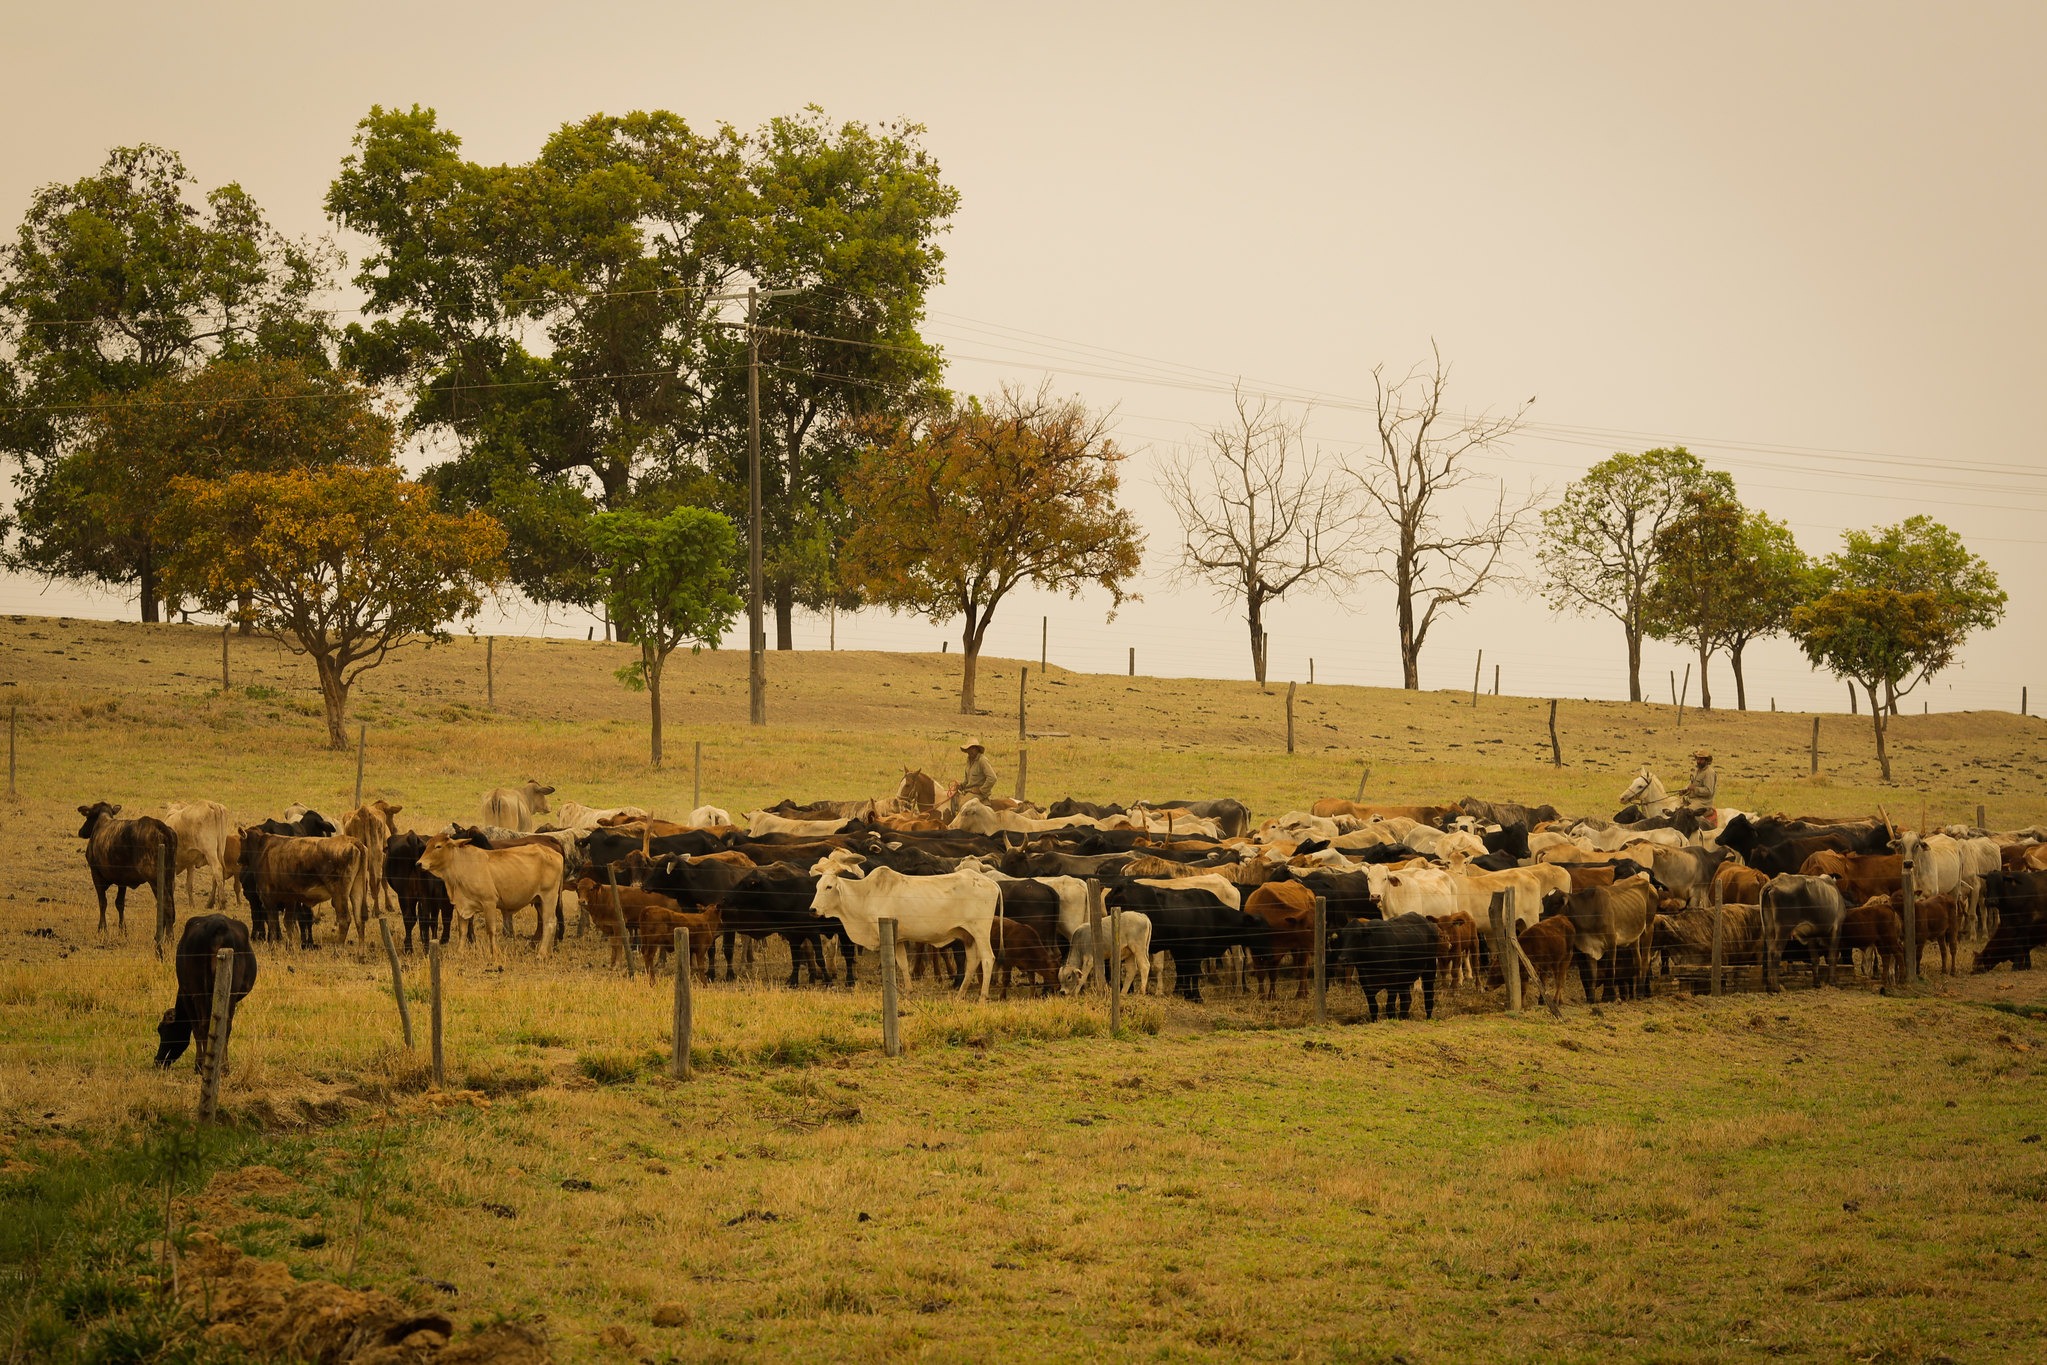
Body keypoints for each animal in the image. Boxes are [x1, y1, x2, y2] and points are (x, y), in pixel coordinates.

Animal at [78, 802, 177, 940]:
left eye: (88, 816)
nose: (81, 831)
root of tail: (161, 826)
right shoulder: (122, 880)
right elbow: (119, 903)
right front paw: (122, 931)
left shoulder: (96, 874)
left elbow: (103, 902)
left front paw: (102, 929)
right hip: (169, 877)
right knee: (168, 904)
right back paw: (159, 936)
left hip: (155, 878)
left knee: (166, 903)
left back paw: (168, 937)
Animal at [155, 914, 257, 1072]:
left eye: (161, 1029)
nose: (157, 1061)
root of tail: (218, 924)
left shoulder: (187, 994)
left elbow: (196, 1028)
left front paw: (199, 1064)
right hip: (230, 992)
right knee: (226, 1026)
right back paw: (224, 1067)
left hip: (199, 991)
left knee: (202, 1026)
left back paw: (204, 1065)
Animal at [416, 834, 566, 959]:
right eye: (427, 845)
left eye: (438, 846)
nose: (419, 864)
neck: (461, 865)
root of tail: (555, 854)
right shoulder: (462, 906)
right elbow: (462, 932)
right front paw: (459, 953)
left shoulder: (489, 902)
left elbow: (490, 930)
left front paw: (494, 952)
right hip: (539, 901)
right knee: (549, 922)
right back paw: (547, 952)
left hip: (549, 897)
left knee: (549, 922)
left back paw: (541, 954)